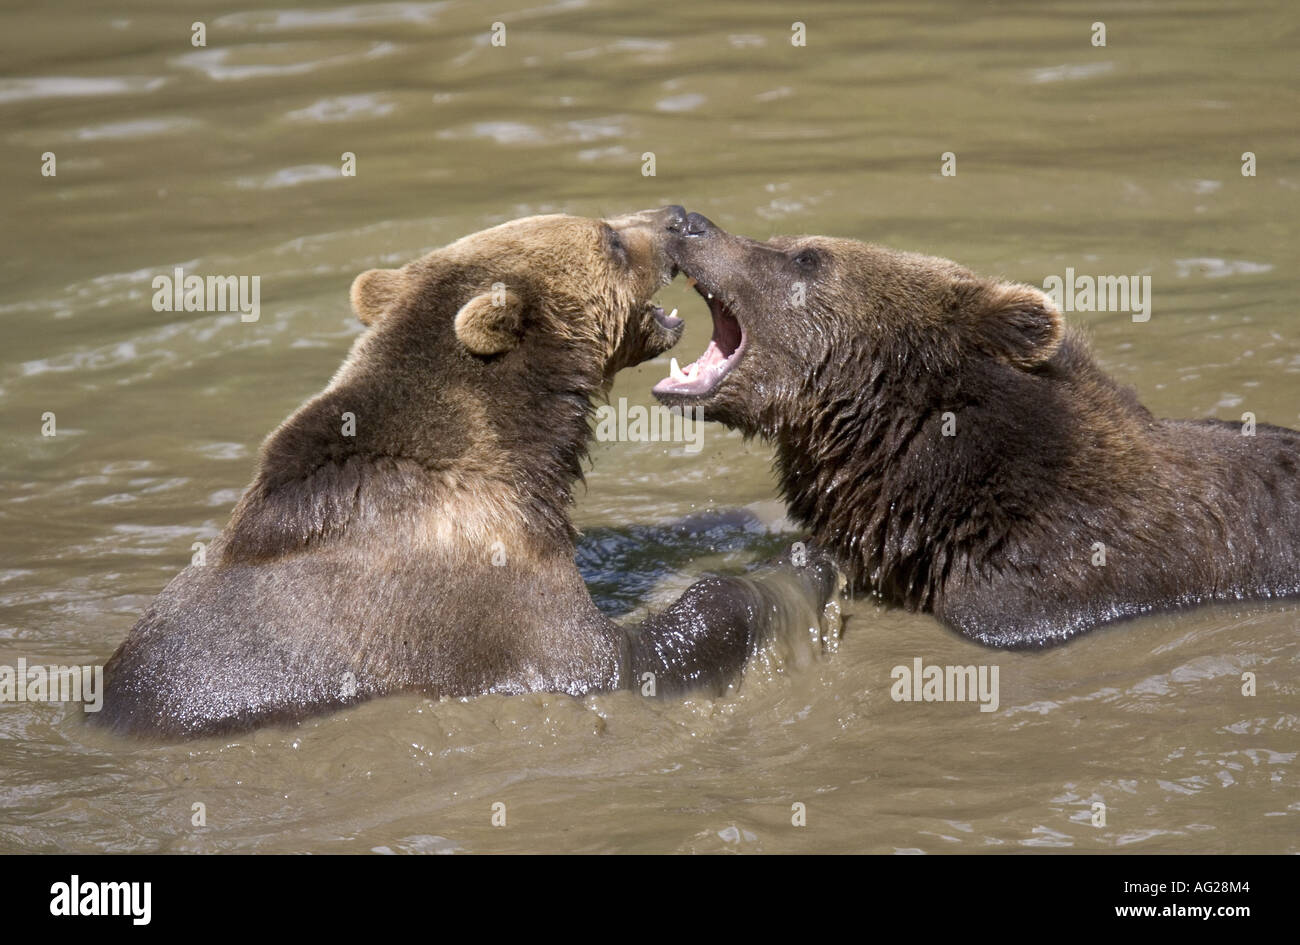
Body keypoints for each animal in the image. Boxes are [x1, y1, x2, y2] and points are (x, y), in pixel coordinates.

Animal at [100, 208, 837, 737]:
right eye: (610, 238)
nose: (677, 216)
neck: (506, 448)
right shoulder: (478, 588)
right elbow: (617, 659)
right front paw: (796, 568)